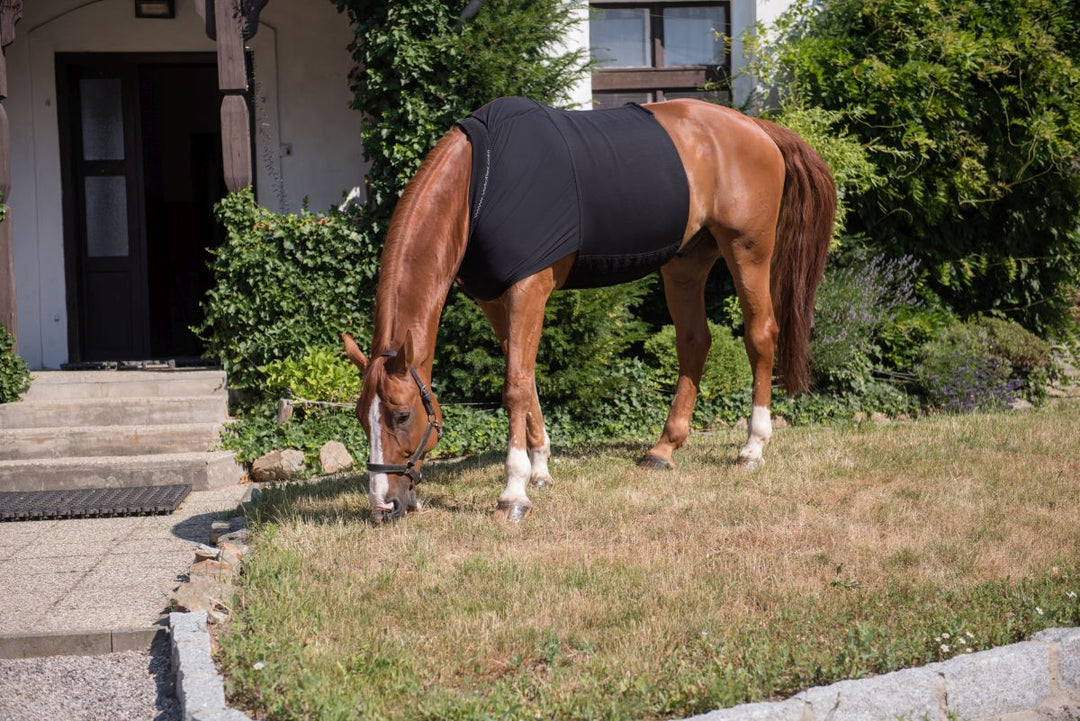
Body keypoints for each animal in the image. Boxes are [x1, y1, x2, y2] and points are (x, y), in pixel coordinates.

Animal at [343, 97, 835, 524]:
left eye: (402, 415)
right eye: (360, 417)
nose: (384, 504)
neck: (478, 183)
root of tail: (755, 127)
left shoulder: (529, 288)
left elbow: (514, 387)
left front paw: (513, 492)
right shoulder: (495, 298)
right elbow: (526, 378)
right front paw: (540, 469)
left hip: (748, 251)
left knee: (760, 335)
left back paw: (752, 447)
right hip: (686, 262)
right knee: (694, 342)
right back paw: (664, 448)